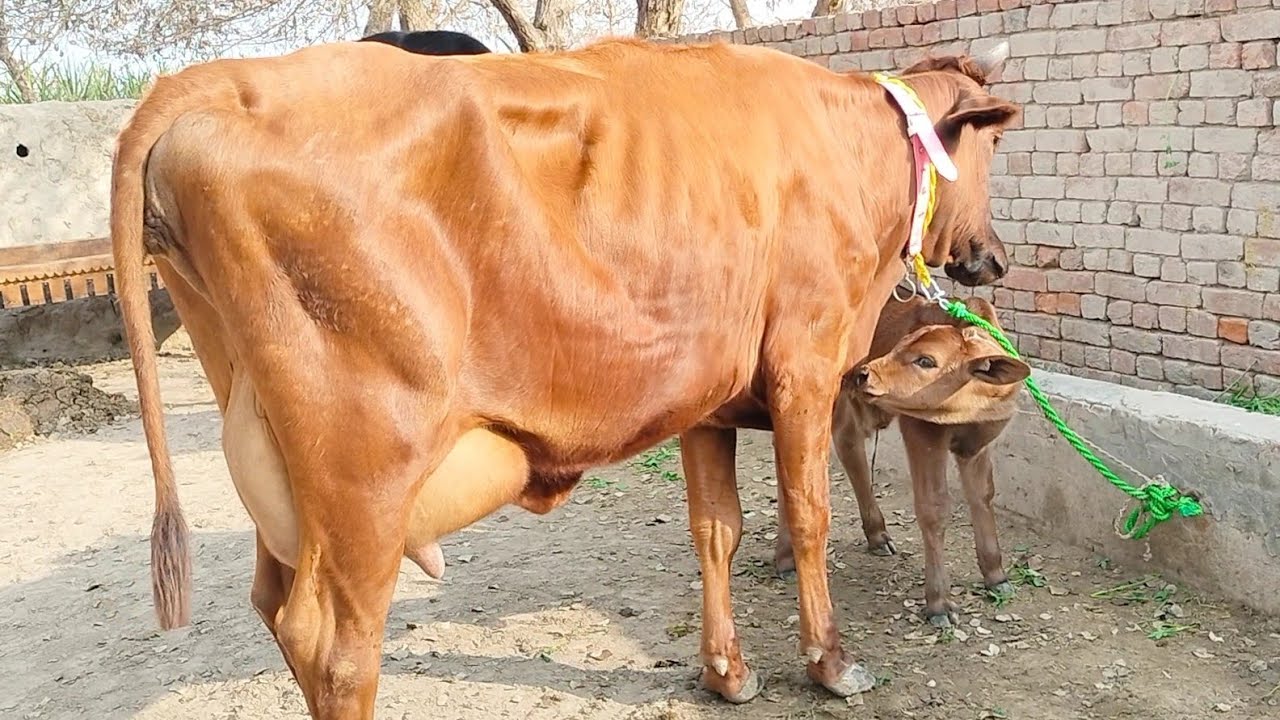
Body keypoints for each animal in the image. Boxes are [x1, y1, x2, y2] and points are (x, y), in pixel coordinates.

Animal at [772, 294, 1030, 628]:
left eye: (926, 360)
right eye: (900, 345)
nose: (864, 373)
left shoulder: (976, 443)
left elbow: (982, 496)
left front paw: (996, 576)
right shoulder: (921, 431)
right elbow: (933, 508)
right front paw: (938, 603)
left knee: (847, 441)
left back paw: (877, 535)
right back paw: (785, 557)